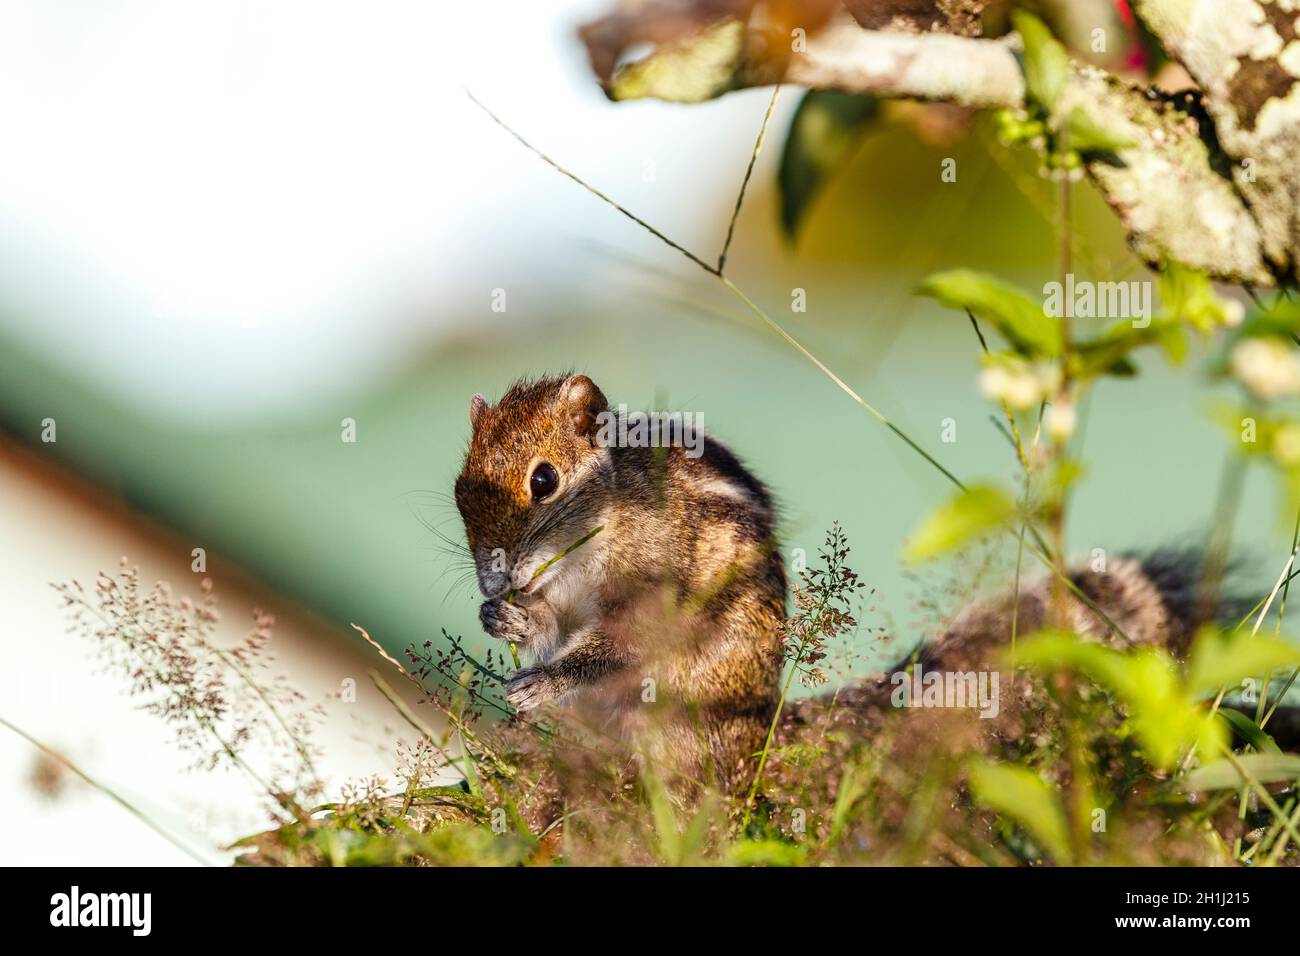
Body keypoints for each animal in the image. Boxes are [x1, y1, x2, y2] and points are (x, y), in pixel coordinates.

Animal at [454, 373, 787, 791]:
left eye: (544, 480)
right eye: (460, 490)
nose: (493, 584)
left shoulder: (651, 591)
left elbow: (623, 641)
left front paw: (541, 682)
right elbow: (552, 627)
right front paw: (505, 617)